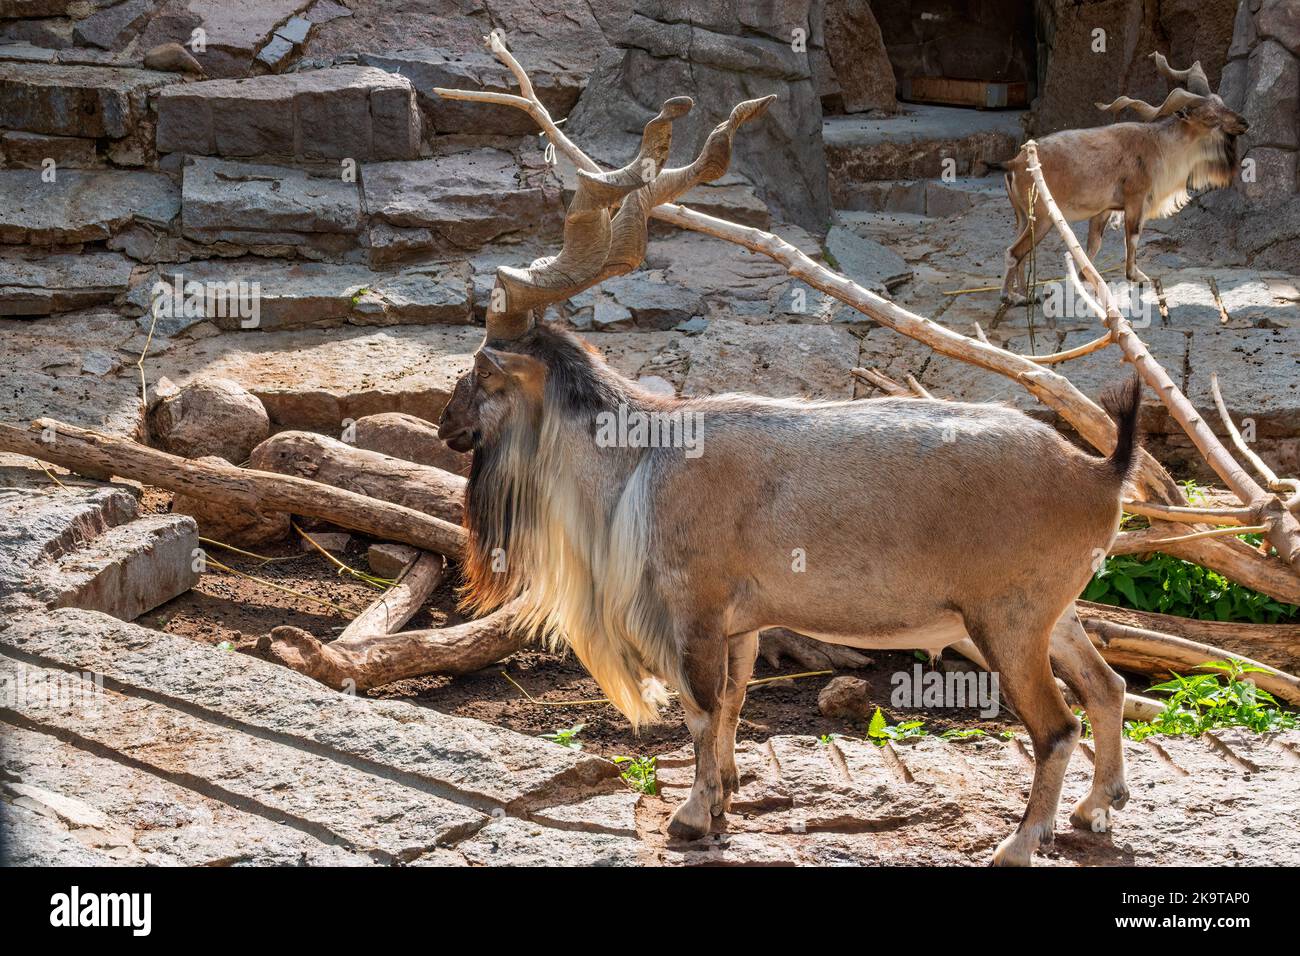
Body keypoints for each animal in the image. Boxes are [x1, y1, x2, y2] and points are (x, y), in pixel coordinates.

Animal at [439, 93, 1142, 866]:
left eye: (480, 372)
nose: (445, 426)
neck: (640, 458)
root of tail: (1099, 472)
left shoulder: (695, 609)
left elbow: (699, 708)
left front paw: (693, 816)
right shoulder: (741, 623)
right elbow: (733, 705)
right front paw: (725, 793)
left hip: (1008, 623)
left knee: (1056, 726)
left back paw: (1019, 844)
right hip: (1055, 614)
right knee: (1109, 687)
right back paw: (1095, 811)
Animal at [996, 52, 1247, 303]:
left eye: (1222, 102)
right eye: (1210, 115)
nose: (1243, 122)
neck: (1159, 146)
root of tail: (1015, 164)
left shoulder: (1104, 210)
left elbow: (1094, 245)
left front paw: (1085, 278)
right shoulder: (1135, 201)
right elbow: (1133, 236)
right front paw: (1136, 276)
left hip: (1024, 217)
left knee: (1020, 252)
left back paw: (1025, 294)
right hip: (1042, 218)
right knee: (1014, 252)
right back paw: (1010, 297)